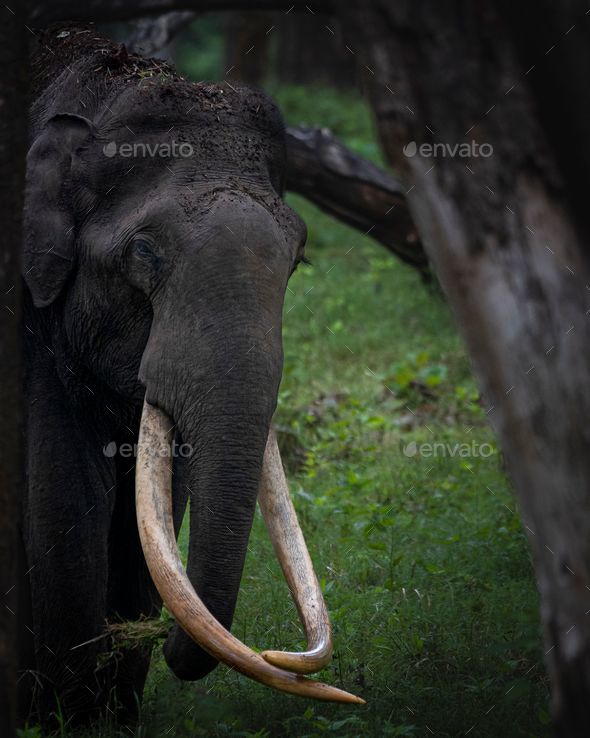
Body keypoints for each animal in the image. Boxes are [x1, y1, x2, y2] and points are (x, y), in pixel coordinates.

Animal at [18, 23, 362, 727]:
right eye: (144, 252)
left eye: (297, 259)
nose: (279, 653)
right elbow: (63, 499)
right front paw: (64, 722)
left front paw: (112, 720)